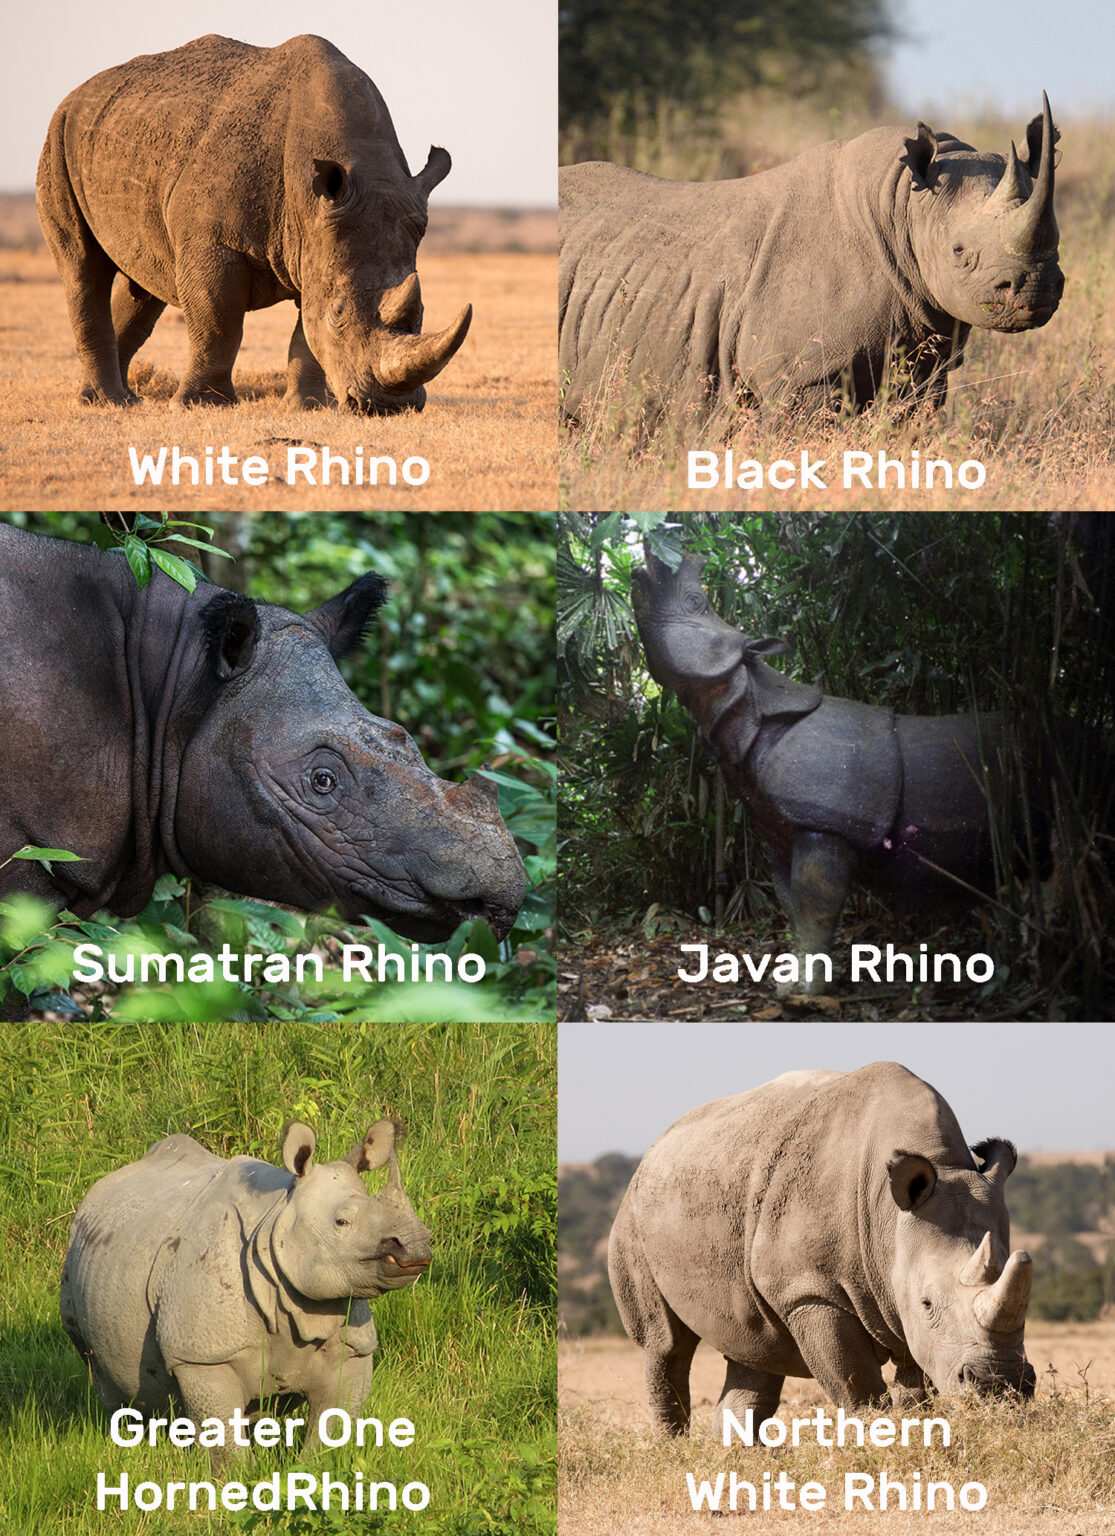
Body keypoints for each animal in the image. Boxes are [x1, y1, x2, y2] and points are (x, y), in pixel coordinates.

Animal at [37, 34, 471, 413]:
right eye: (340, 312)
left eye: (422, 311)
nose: (388, 407)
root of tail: (76, 93)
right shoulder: (215, 244)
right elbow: (218, 322)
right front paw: (201, 405)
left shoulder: (314, 240)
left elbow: (305, 332)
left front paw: (306, 407)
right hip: (58, 137)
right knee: (83, 268)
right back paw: (105, 401)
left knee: (144, 282)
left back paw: (120, 399)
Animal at [60, 1119, 430, 1455]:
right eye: (341, 1222)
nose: (417, 1244)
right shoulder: (204, 1356)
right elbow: (223, 1440)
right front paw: (233, 1483)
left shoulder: (353, 1345)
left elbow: (334, 1429)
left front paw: (315, 1472)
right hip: (79, 1256)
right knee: (98, 1369)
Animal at [560, 96, 1062, 418]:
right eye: (960, 253)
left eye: (1057, 242)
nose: (1036, 288)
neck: (903, 204)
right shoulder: (801, 374)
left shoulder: (926, 362)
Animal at [610, 1062, 1036, 1437]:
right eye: (927, 1302)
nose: (1002, 1385)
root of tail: (653, 1150)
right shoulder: (809, 1290)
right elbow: (856, 1384)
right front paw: (878, 1441)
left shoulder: (897, 1290)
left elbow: (916, 1385)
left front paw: (917, 1433)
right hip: (632, 1215)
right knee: (666, 1344)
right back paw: (674, 1451)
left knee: (754, 1347)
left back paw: (742, 1459)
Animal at [631, 551, 1004, 992]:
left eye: (694, 602)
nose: (643, 565)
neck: (748, 702)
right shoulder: (779, 829)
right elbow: (792, 908)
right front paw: (788, 984)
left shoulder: (825, 820)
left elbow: (816, 908)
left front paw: (807, 994)